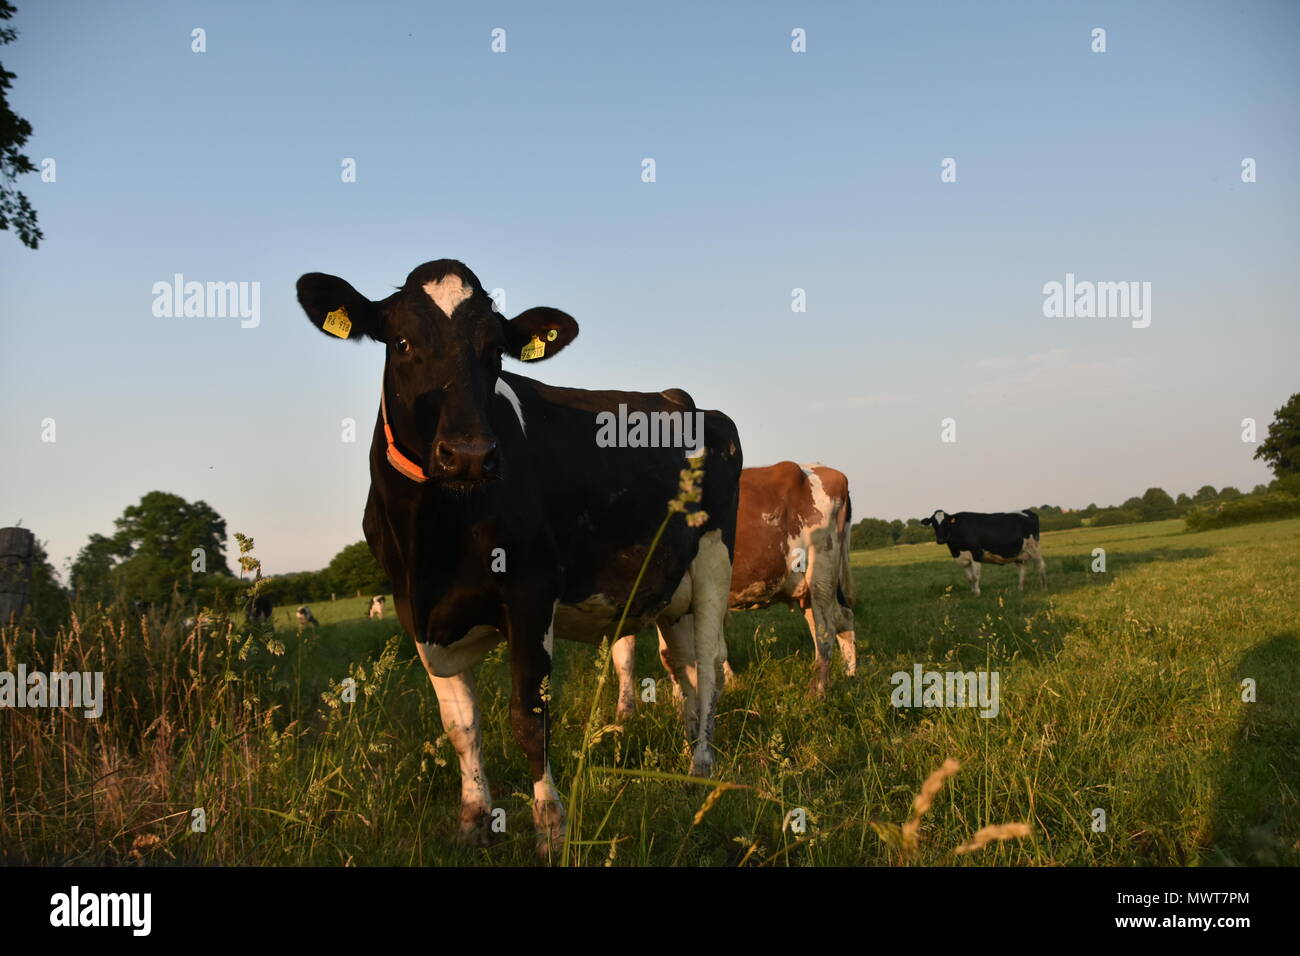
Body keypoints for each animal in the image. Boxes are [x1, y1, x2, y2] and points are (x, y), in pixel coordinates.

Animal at [296, 258, 742, 855]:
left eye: (494, 351)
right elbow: (461, 726)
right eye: (402, 342)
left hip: (714, 560)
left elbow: (529, 716)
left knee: (711, 664)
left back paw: (702, 764)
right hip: (669, 589)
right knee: (685, 663)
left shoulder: (530, 594)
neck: (432, 538)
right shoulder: (417, 614)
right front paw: (473, 819)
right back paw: (688, 744)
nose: (467, 454)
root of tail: (679, 398)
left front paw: (550, 825)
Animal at [612, 461, 857, 713]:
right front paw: (625, 714)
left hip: (821, 573)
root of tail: (829, 472)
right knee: (841, 619)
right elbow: (625, 657)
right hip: (808, 588)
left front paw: (681, 704)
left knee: (826, 630)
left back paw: (817, 694)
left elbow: (673, 655)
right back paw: (848, 675)